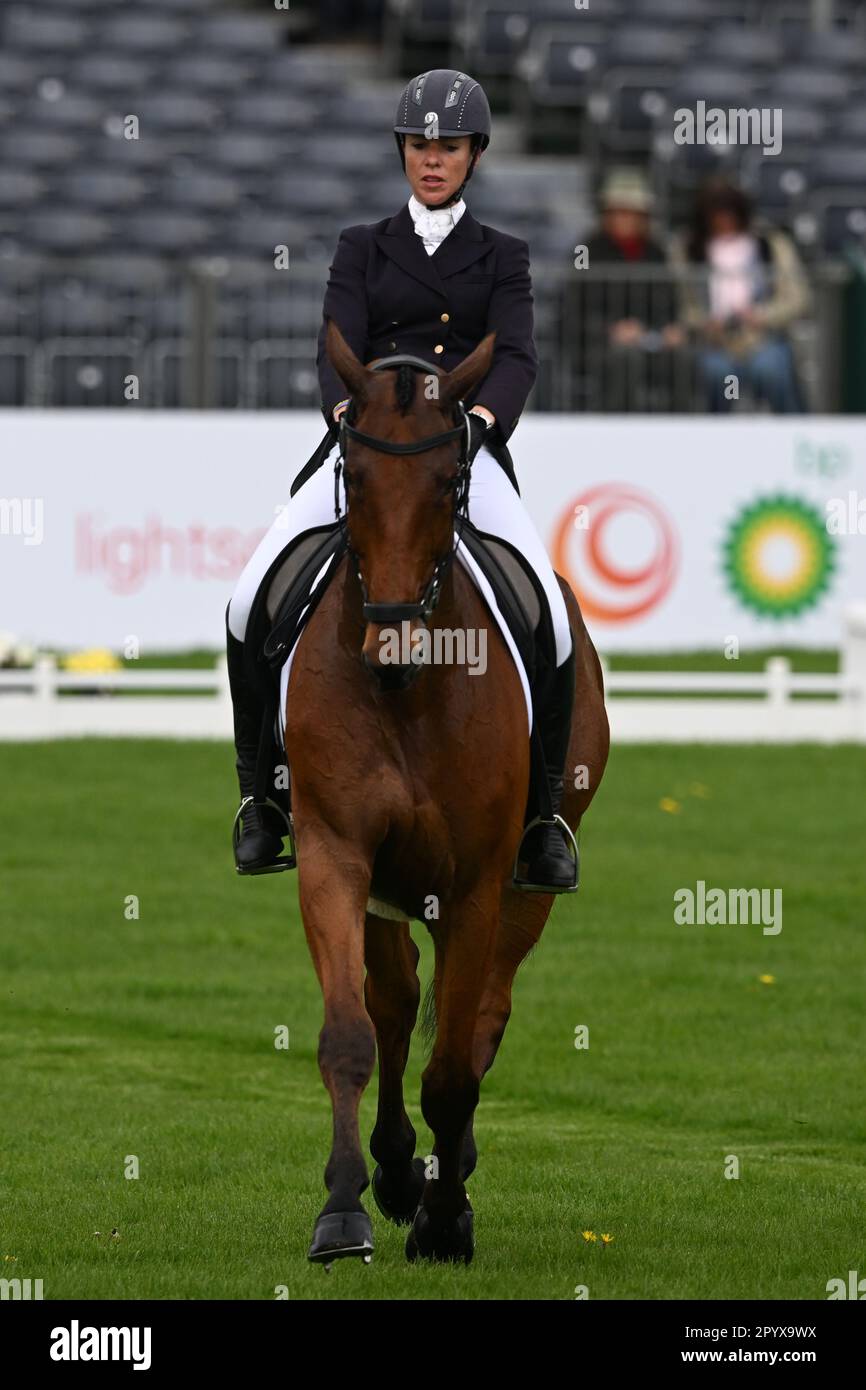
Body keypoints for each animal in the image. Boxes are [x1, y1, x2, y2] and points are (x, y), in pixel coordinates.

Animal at [284, 321, 609, 1265]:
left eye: (448, 481)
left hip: (524, 884)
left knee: (484, 1020)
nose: (391, 645)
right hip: (390, 890)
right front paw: (345, 1210)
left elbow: (455, 1067)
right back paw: (397, 1170)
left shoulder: (474, 885)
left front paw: (444, 1221)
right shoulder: (335, 855)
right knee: (394, 1007)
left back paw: (444, 1174)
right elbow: (351, 1035)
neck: (410, 693)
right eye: (353, 473)